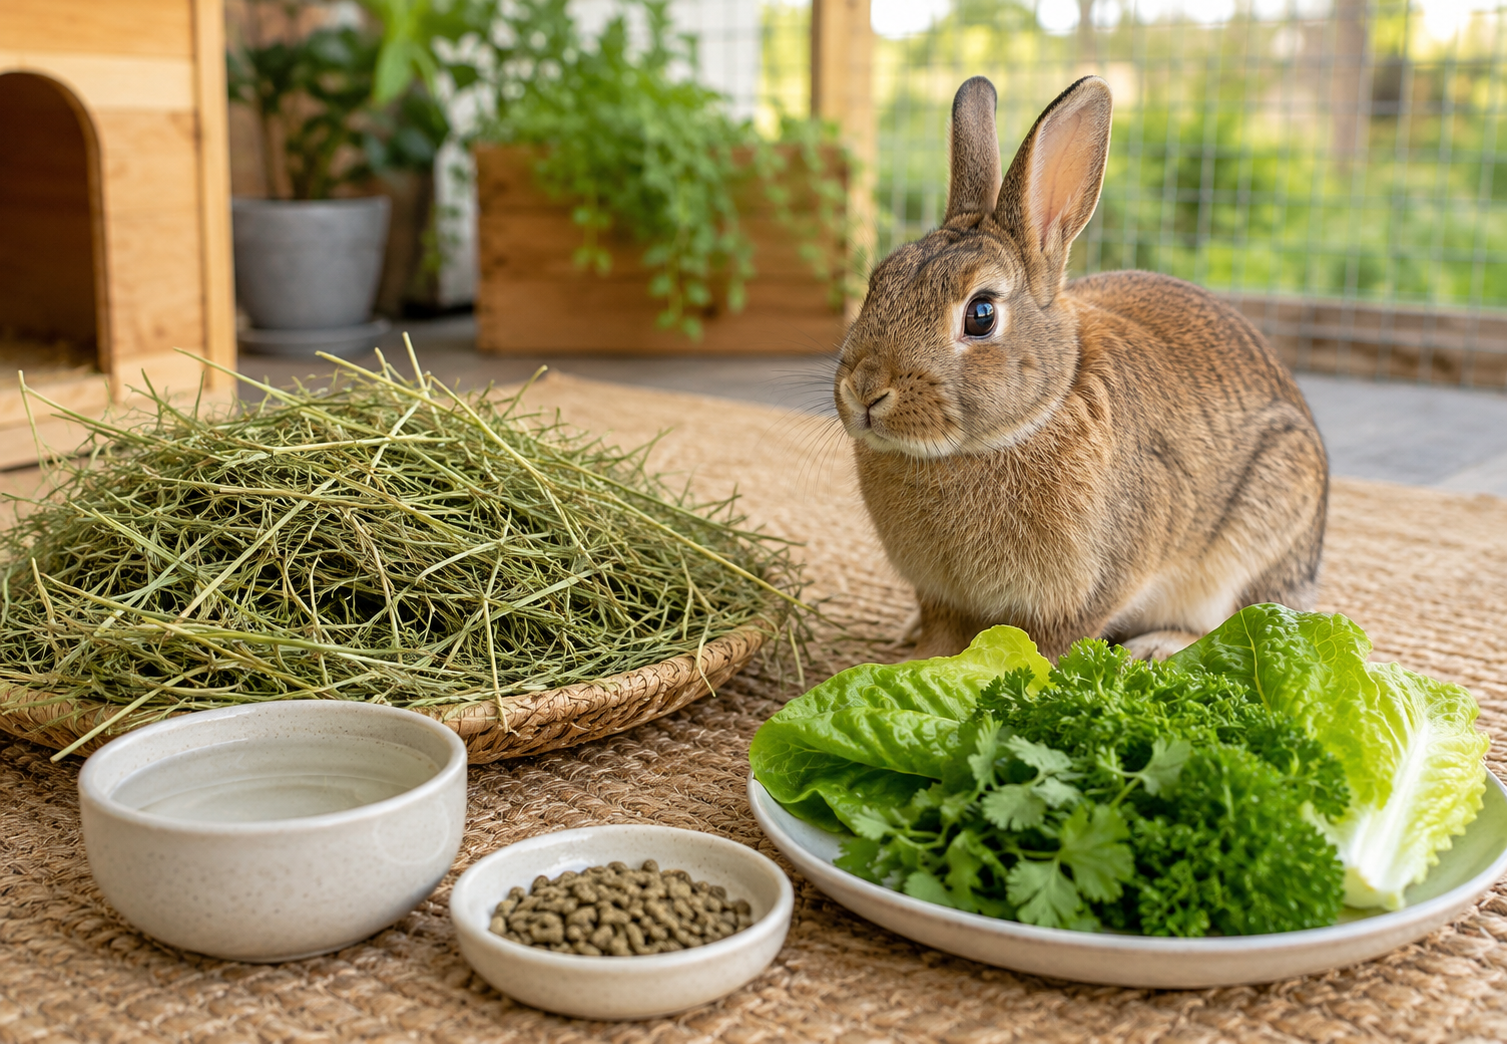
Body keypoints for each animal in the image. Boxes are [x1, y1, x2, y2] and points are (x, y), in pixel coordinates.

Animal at [833, 75, 1328, 662]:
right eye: (877, 283)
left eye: (981, 315)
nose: (865, 389)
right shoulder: (940, 594)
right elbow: (940, 631)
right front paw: (915, 661)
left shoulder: (1094, 582)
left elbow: (1051, 641)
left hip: (1255, 536)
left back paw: (1156, 647)